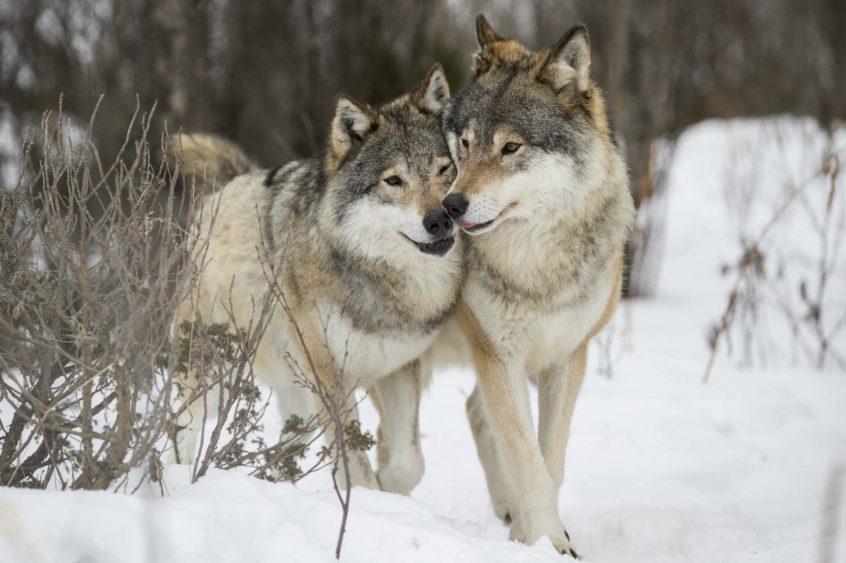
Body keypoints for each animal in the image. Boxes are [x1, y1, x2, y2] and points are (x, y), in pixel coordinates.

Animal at [170, 64, 463, 495]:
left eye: (444, 170)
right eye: (393, 181)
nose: (440, 219)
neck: (380, 279)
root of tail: (223, 187)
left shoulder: (398, 368)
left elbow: (409, 462)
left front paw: (391, 490)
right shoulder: (330, 376)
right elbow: (356, 467)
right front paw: (370, 498)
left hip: (298, 397)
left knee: (283, 449)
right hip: (214, 374)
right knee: (179, 428)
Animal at [439, 16, 635, 556]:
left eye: (511, 147)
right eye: (466, 143)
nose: (451, 206)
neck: (535, 266)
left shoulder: (567, 357)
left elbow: (551, 458)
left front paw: (543, 537)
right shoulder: (498, 356)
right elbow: (529, 462)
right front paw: (549, 541)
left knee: (473, 409)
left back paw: (509, 514)